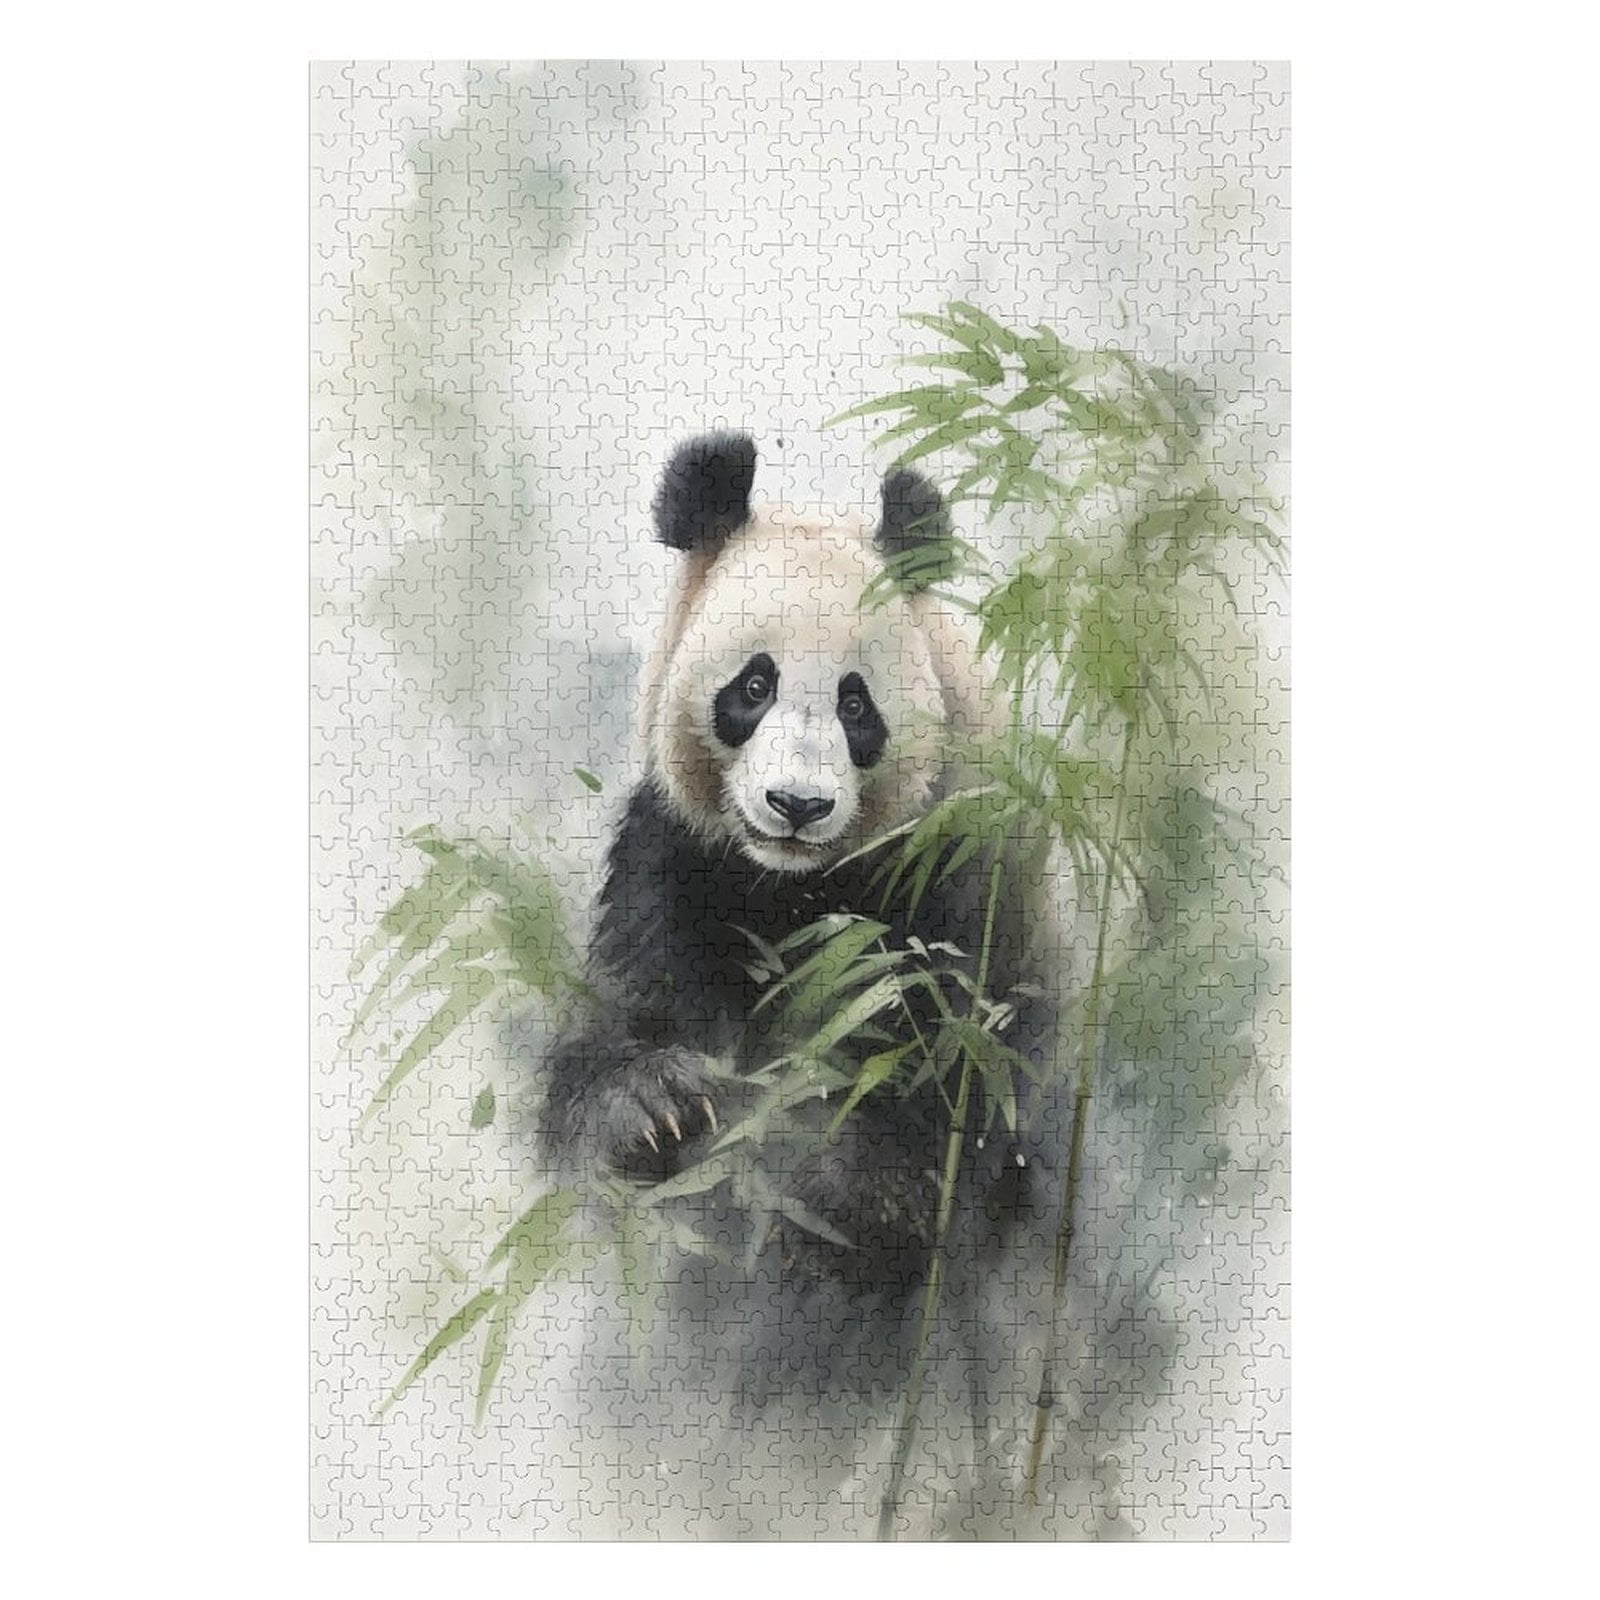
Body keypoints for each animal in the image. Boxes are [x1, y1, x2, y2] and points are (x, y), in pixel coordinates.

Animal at [540, 431, 1063, 1393]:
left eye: (857, 703)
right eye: (753, 687)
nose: (797, 804)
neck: (798, 886)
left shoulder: (954, 866)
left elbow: (946, 1058)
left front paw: (839, 1221)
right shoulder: (677, 855)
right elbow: (623, 1018)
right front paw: (653, 1107)